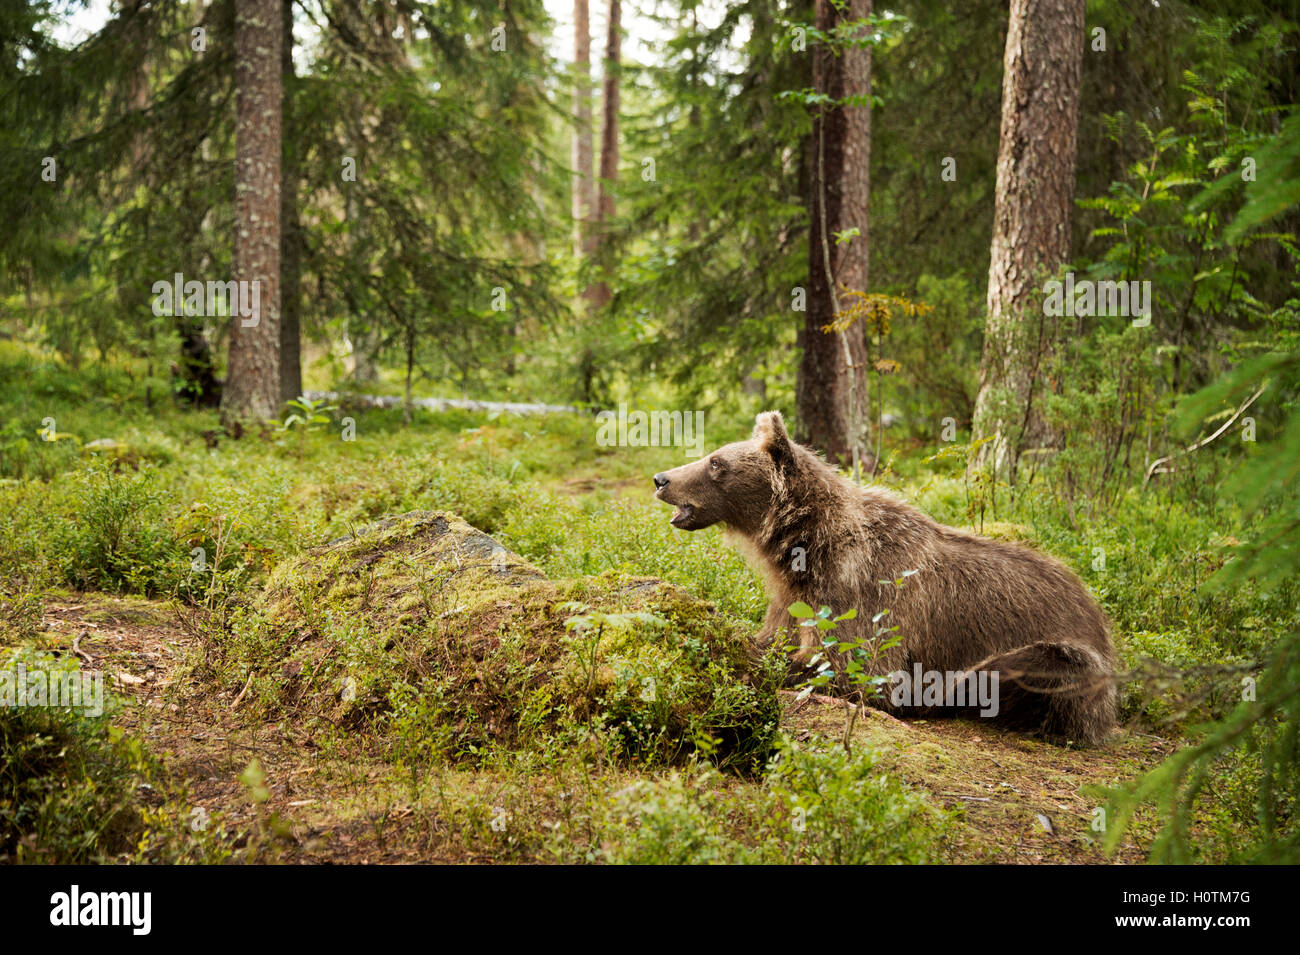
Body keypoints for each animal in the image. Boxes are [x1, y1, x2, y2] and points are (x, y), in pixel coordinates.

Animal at [652, 410, 1117, 746]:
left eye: (717, 462)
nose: (662, 478)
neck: (806, 548)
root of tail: (1094, 608)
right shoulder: (793, 598)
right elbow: (770, 637)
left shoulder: (865, 599)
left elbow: (849, 668)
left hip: (1070, 654)